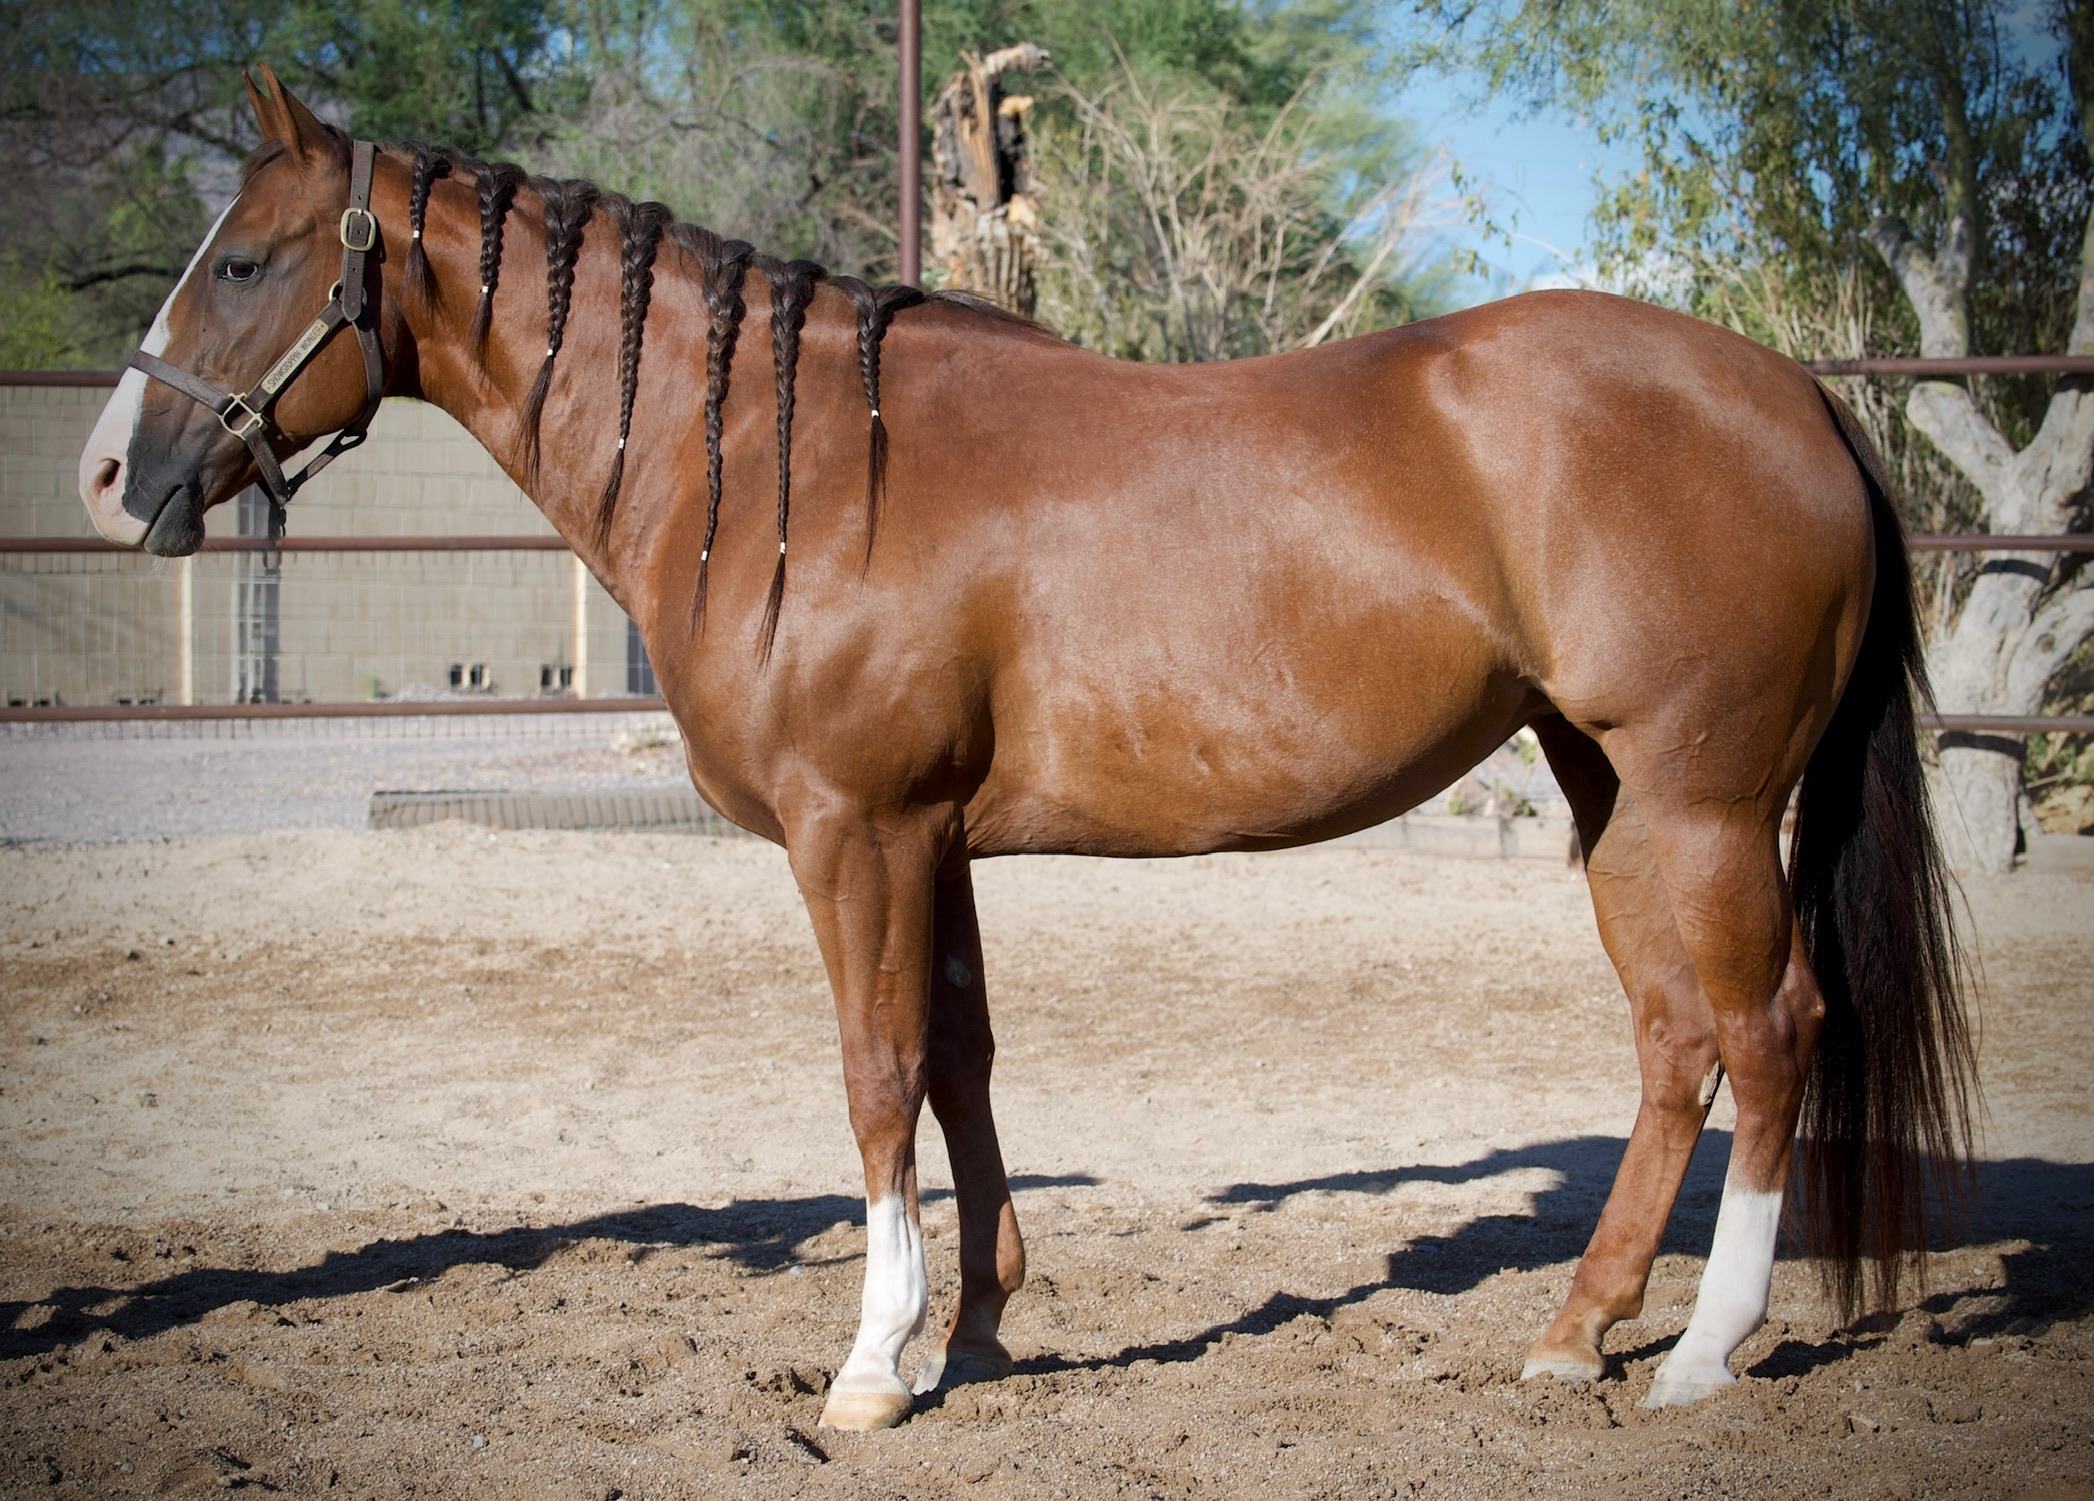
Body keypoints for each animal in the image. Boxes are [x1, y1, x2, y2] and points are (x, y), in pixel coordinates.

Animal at [78, 67, 1973, 1431]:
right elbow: (962, 1069)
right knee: (1672, 1043)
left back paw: (1699, 1354)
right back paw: (1574, 1329)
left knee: (1767, 1032)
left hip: (1703, 802)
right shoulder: (935, 843)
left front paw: (867, 1370)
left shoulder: (855, 833)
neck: (793, 463)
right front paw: (971, 1336)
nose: (103, 476)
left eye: (241, 262)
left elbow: (872, 1076)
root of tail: (1793, 397)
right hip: (1610, 794)